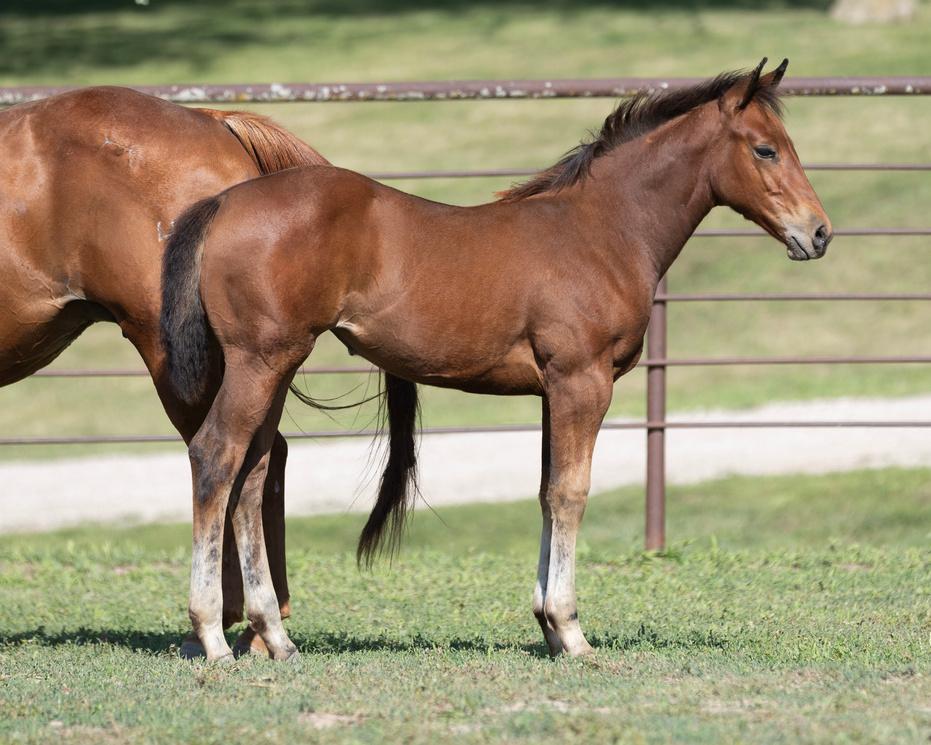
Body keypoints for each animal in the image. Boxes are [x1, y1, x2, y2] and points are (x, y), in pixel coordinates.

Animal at [0, 86, 328, 657]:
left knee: (223, 462)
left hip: (181, 362)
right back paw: (257, 625)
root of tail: (213, 121)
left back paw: (222, 626)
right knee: (262, 461)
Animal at [160, 59, 832, 661]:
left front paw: (548, 627)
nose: (819, 233)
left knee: (253, 472)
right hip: (261, 362)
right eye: (767, 150)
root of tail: (225, 203)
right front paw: (572, 631)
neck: (601, 231)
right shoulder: (582, 382)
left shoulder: (552, 391)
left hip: (276, 366)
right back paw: (212, 637)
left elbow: (545, 491)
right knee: (215, 456)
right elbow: (571, 492)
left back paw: (274, 636)